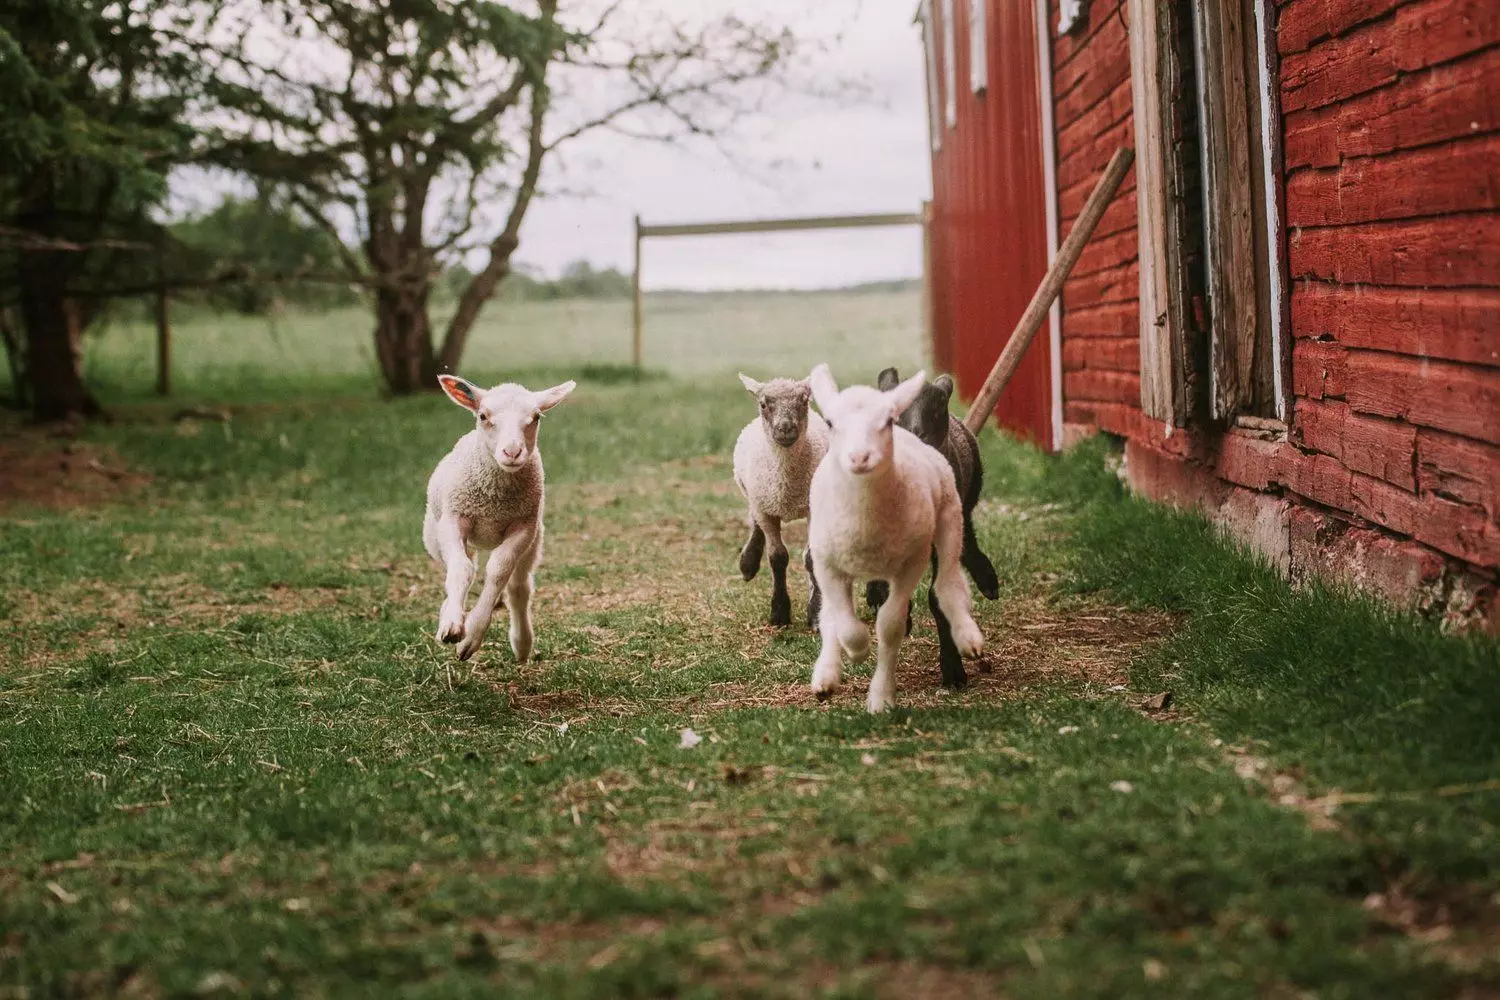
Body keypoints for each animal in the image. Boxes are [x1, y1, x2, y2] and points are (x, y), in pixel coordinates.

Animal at [429, 374, 579, 665]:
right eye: (483, 416)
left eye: (536, 417)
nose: (512, 452)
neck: (494, 500)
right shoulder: (454, 518)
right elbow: (461, 569)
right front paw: (452, 625)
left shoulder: (523, 528)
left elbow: (498, 572)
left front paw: (471, 636)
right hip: (435, 536)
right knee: (459, 566)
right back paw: (448, 610)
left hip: (534, 542)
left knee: (519, 588)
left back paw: (522, 644)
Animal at [729, 373, 828, 626]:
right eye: (763, 404)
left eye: (804, 401)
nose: (785, 429)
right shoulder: (766, 509)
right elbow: (777, 557)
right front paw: (779, 612)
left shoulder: (813, 508)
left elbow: (811, 558)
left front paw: (815, 612)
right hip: (756, 495)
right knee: (755, 523)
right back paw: (748, 563)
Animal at [810, 364, 984, 716]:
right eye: (831, 422)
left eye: (938, 406)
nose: (860, 457)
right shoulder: (832, 564)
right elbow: (849, 617)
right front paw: (857, 651)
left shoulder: (918, 556)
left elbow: (902, 618)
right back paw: (827, 674)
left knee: (950, 580)